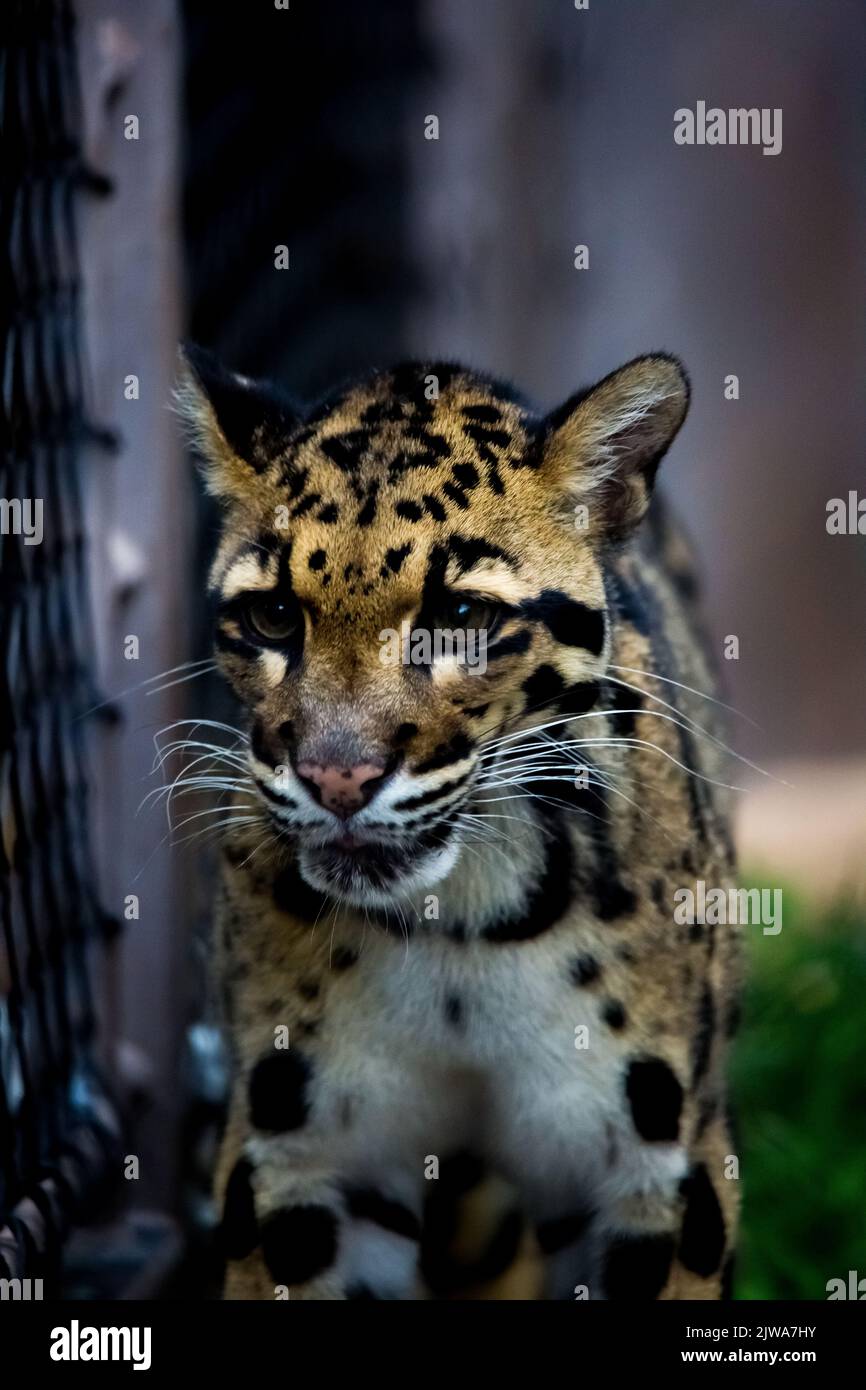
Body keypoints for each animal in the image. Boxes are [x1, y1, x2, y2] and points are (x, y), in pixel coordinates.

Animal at [176, 344, 741, 1300]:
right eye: (274, 615)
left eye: (462, 618)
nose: (337, 776)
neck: (461, 928)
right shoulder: (297, 1158)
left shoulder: (661, 1171)